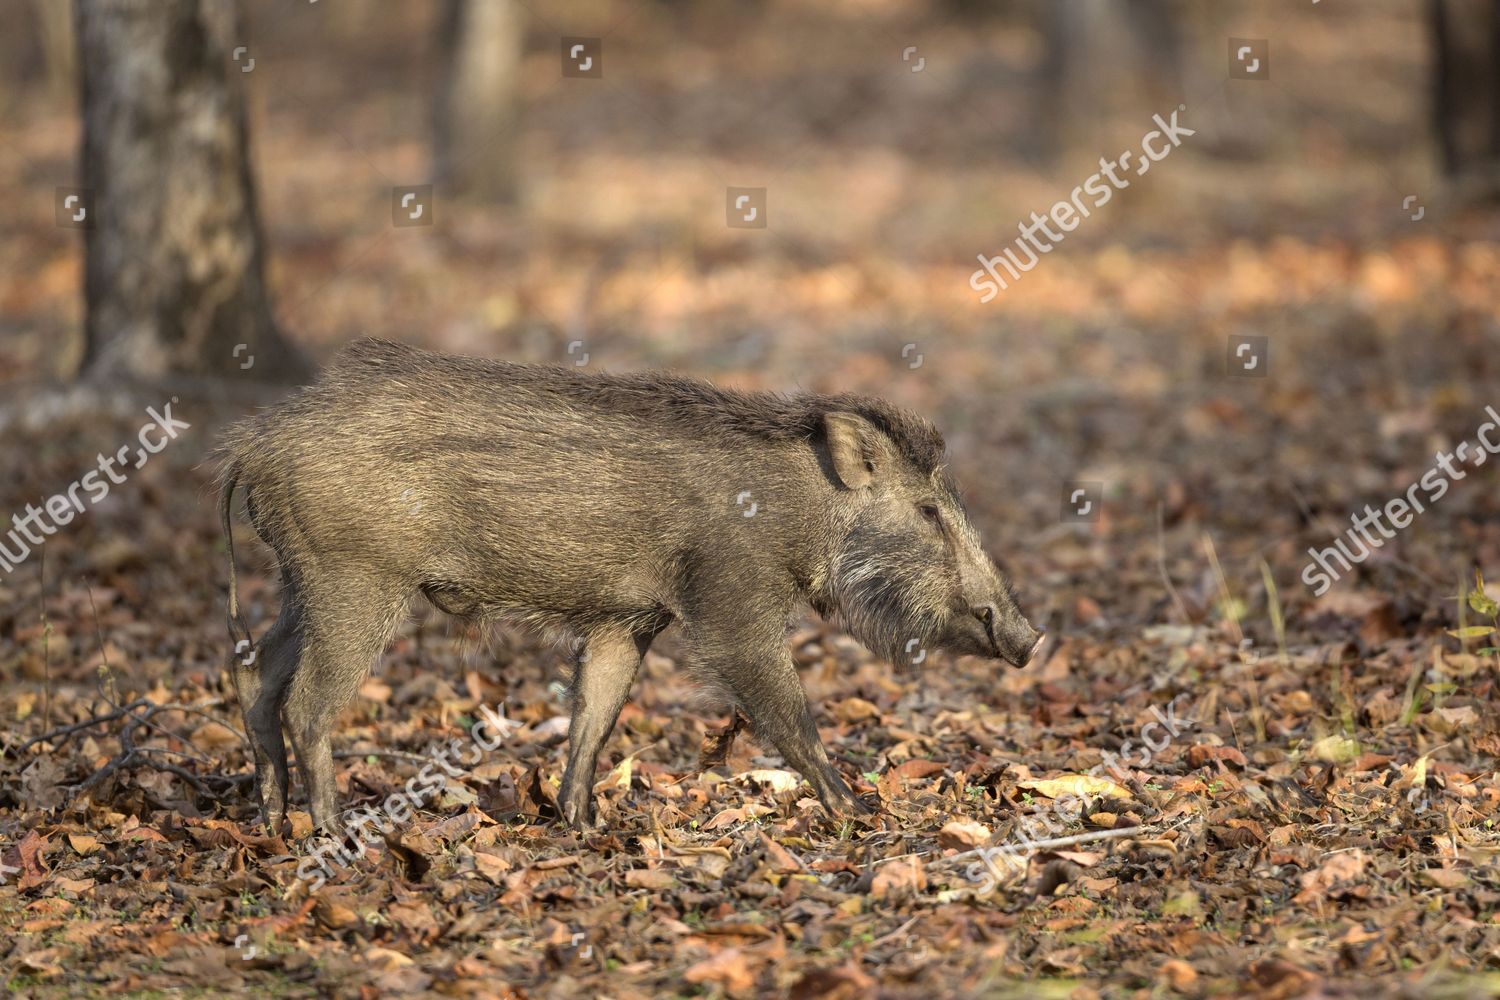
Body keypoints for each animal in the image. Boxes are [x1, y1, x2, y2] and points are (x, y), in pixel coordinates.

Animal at [216, 338, 1044, 834]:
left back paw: (274, 820)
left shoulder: (629, 620)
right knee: (307, 703)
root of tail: (254, 443)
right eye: (930, 509)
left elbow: (595, 714)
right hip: (355, 580)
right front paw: (854, 815)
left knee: (255, 673)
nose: (1030, 637)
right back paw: (330, 833)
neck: (802, 508)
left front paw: (582, 825)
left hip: (303, 581)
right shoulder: (730, 607)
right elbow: (788, 715)